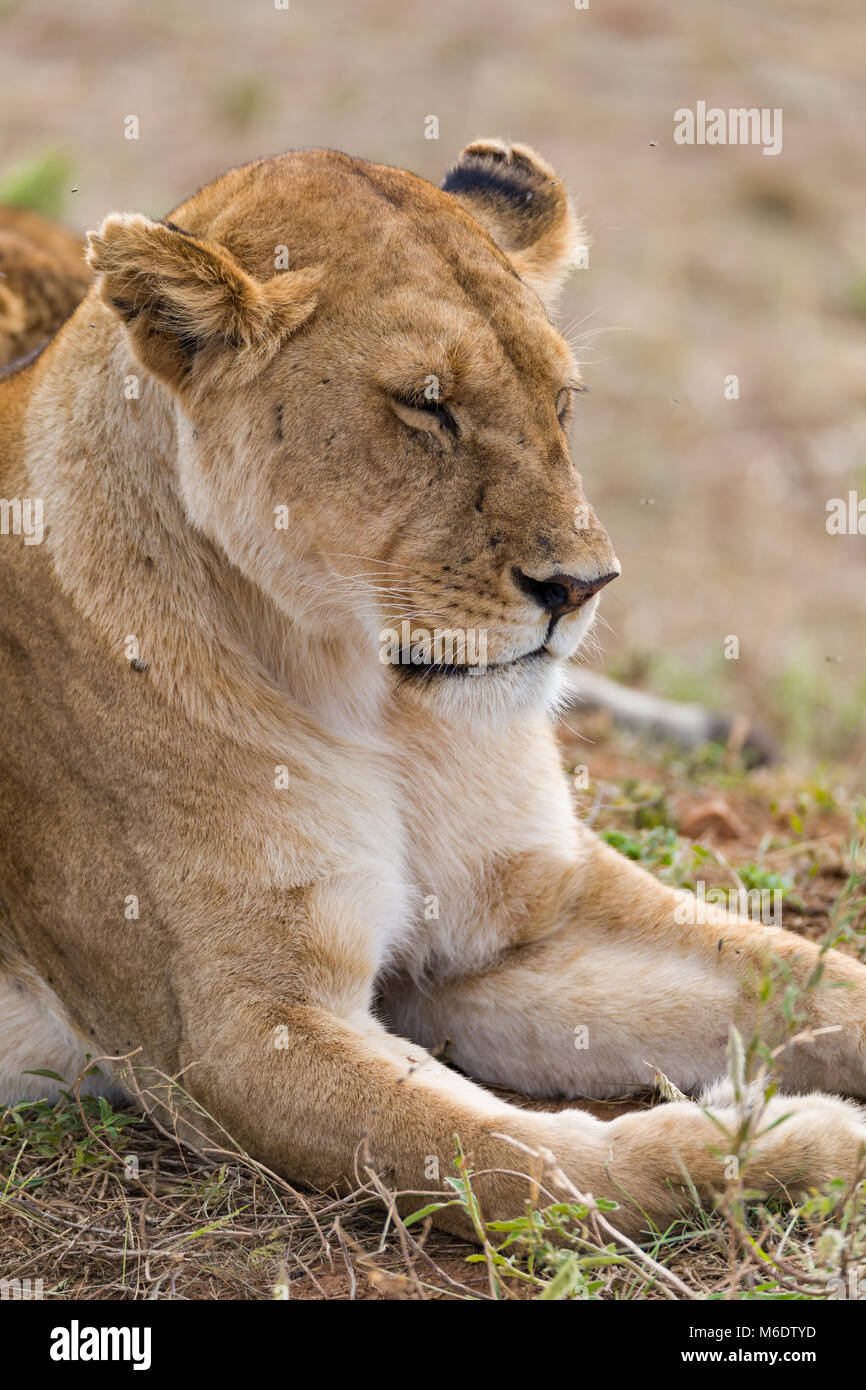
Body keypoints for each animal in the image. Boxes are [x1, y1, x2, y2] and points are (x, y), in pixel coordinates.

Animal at [1, 141, 865, 1244]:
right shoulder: (236, 1035)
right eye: (426, 404)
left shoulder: (526, 923)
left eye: (561, 400)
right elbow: (522, 1163)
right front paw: (787, 1148)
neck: (376, 706)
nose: (582, 585)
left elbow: (799, 971)